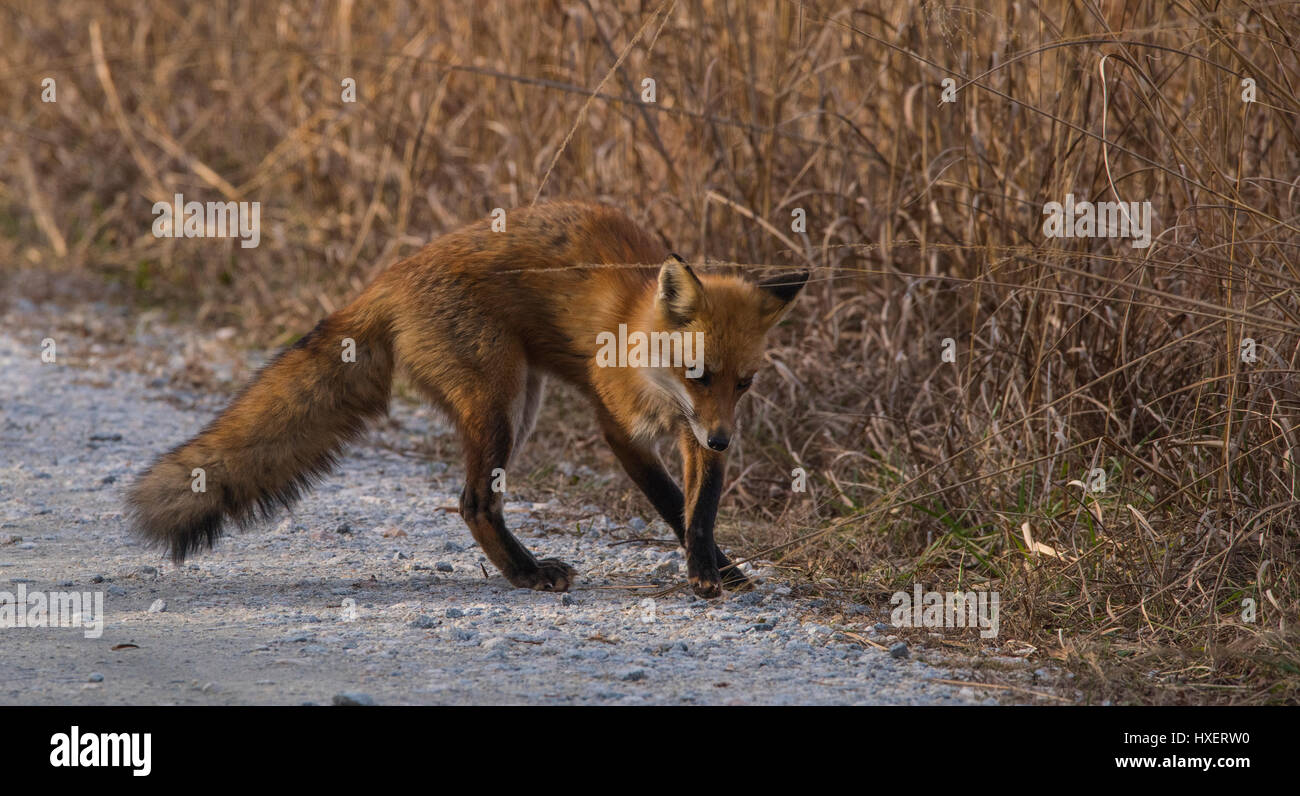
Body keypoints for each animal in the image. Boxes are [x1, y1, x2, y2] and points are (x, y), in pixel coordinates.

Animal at [126, 201, 806, 598]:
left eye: (744, 383)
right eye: (697, 372)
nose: (725, 436)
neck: (637, 336)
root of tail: (390, 276)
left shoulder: (696, 435)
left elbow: (700, 512)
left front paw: (716, 568)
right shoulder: (620, 427)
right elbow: (669, 504)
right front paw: (703, 573)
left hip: (520, 406)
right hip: (500, 408)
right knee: (473, 502)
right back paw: (526, 573)